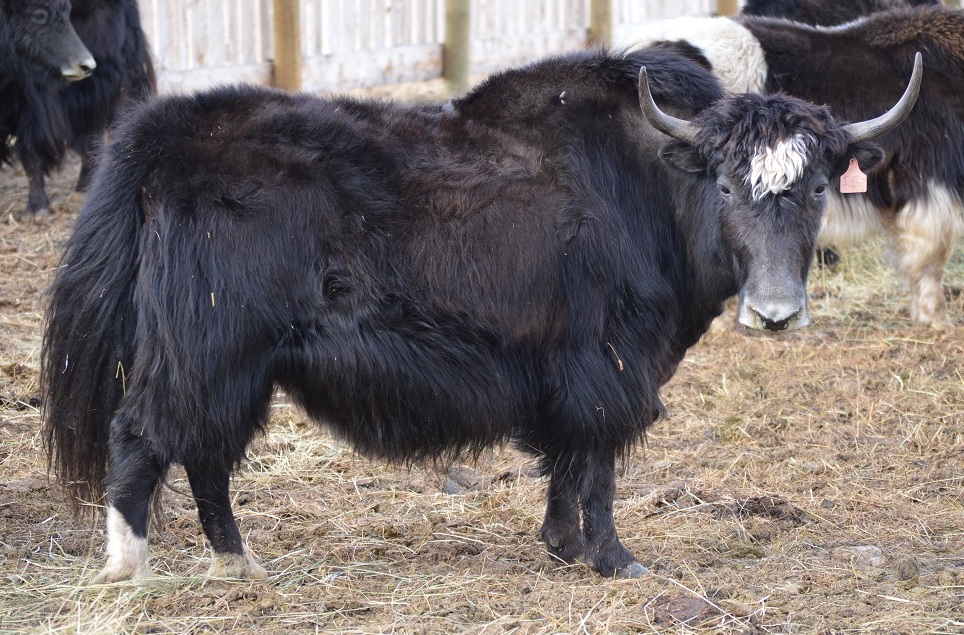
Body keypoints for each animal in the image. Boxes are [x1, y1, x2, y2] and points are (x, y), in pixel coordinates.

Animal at [1, 0, 155, 219]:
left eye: (67, 14)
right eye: (38, 15)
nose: (86, 64)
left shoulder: (33, 103)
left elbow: (31, 152)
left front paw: (38, 207)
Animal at [41, 47, 920, 583]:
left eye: (817, 187)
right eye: (730, 186)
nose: (775, 314)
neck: (650, 186)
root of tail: (163, 136)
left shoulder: (565, 370)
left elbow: (568, 460)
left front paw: (563, 546)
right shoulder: (609, 359)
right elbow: (599, 458)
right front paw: (616, 558)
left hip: (243, 364)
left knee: (206, 452)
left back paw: (241, 561)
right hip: (210, 343)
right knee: (146, 434)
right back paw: (132, 568)